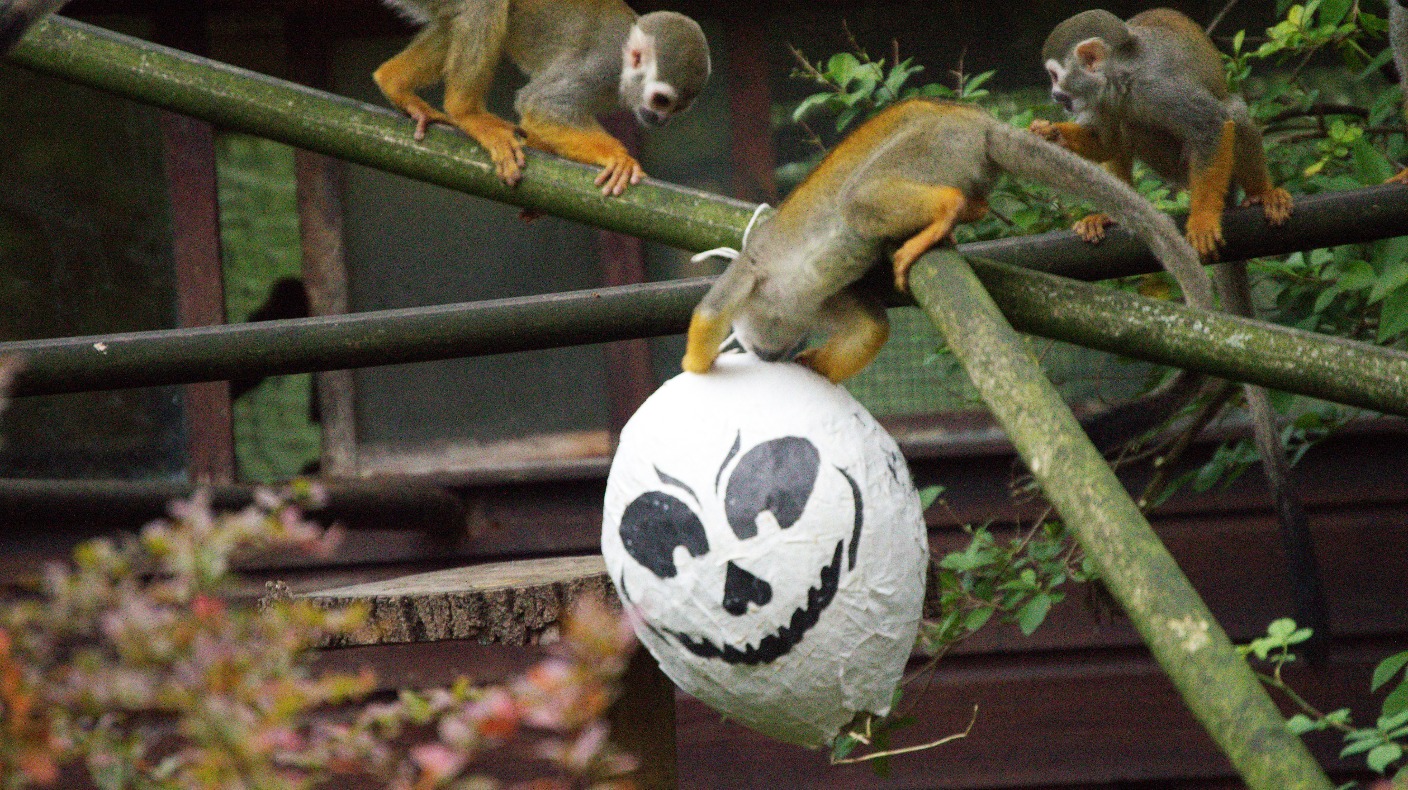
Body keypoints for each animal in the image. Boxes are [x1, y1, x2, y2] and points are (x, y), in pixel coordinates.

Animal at [374, 0, 710, 196]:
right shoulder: (601, 66)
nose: (660, 120)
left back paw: (394, 82)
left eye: (677, 109)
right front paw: (619, 157)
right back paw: (466, 112)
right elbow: (540, 105)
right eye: (661, 101)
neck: (625, 66)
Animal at [680, 98, 1212, 385]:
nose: (769, 357)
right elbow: (871, 328)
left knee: (858, 199)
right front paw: (820, 368)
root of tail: (978, 123)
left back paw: (947, 211)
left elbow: (712, 308)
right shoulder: (813, 301)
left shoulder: (756, 271)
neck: (783, 307)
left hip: (931, 148)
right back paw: (968, 210)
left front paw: (695, 365)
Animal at [1034, 8, 1327, 655]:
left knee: (1232, 113)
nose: (1055, 96)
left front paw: (1203, 218)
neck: (1122, 78)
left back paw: (1256, 194)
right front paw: (1052, 135)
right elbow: (1104, 135)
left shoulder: (1159, 89)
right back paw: (1109, 210)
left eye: (1056, 74)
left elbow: (1213, 125)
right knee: (1124, 135)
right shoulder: (1105, 101)